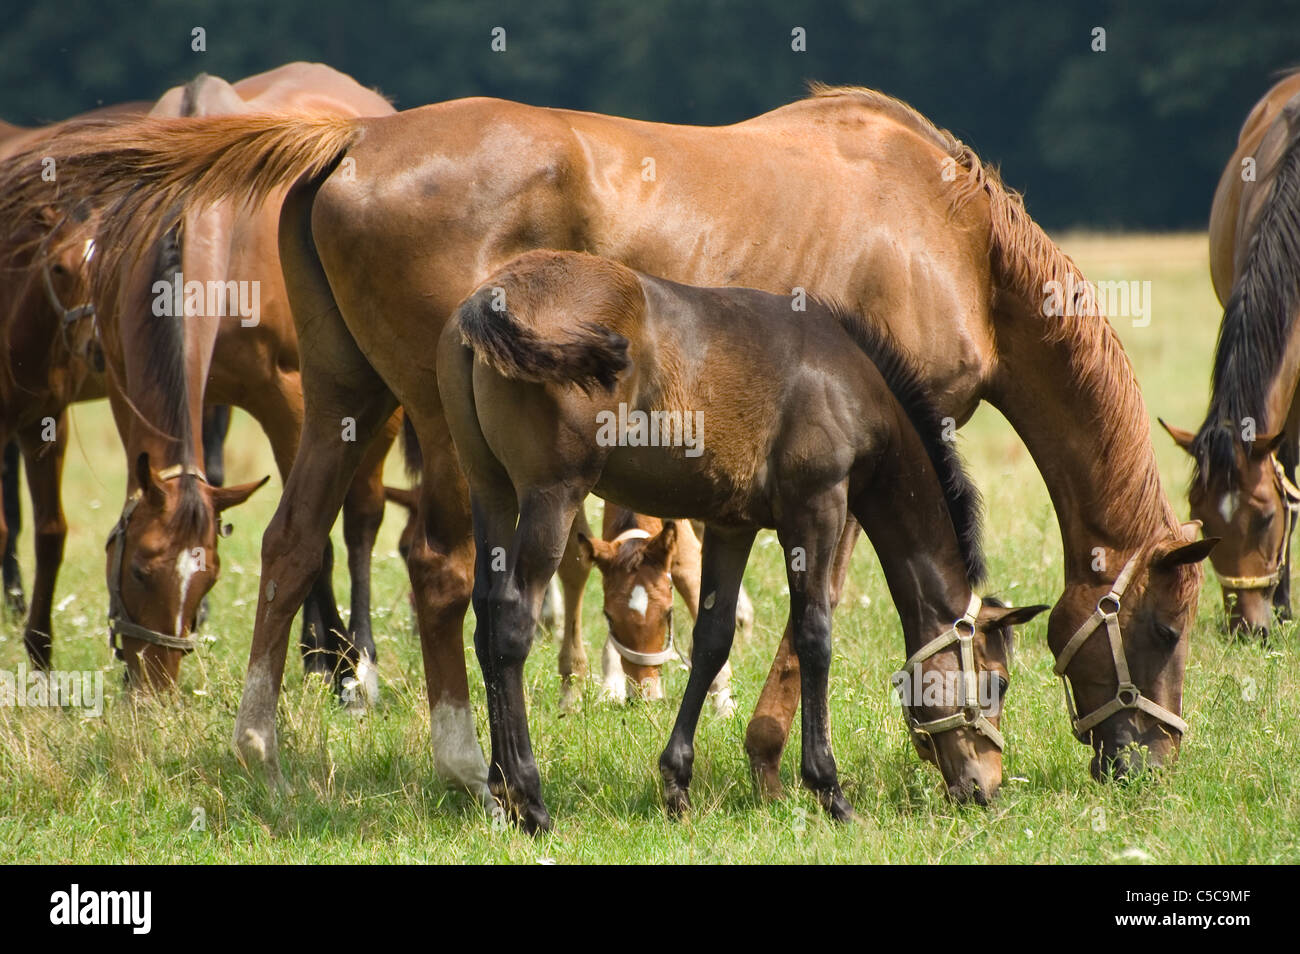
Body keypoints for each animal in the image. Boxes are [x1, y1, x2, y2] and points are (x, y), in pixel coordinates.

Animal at [440, 249, 1047, 829]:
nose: (985, 789)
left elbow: (712, 638)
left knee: (485, 616)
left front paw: (676, 783)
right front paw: (829, 789)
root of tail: (492, 296)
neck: (845, 381)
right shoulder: (816, 511)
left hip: (491, 491)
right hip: (552, 496)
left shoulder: (731, 527)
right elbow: (814, 635)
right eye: (998, 684)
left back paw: (499, 792)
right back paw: (530, 800)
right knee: (512, 621)